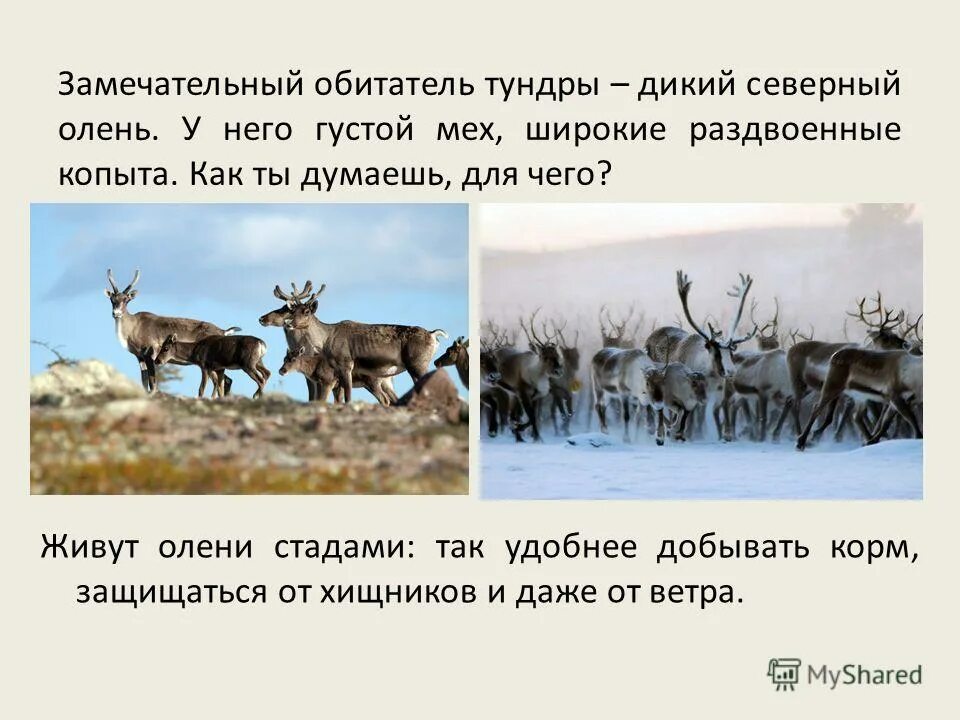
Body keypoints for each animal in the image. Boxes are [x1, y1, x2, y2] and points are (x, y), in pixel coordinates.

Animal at [104, 269, 241, 396]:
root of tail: (224, 331)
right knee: (225, 381)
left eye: (126, 299)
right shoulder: (140, 357)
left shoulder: (149, 355)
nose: (116, 313)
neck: (134, 327)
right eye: (112, 299)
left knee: (223, 381)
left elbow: (153, 384)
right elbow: (144, 383)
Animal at [261, 281, 444, 404]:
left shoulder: (345, 365)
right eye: (293, 311)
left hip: (416, 364)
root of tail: (434, 335)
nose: (289, 323)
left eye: (306, 311)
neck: (325, 342)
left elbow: (347, 398)